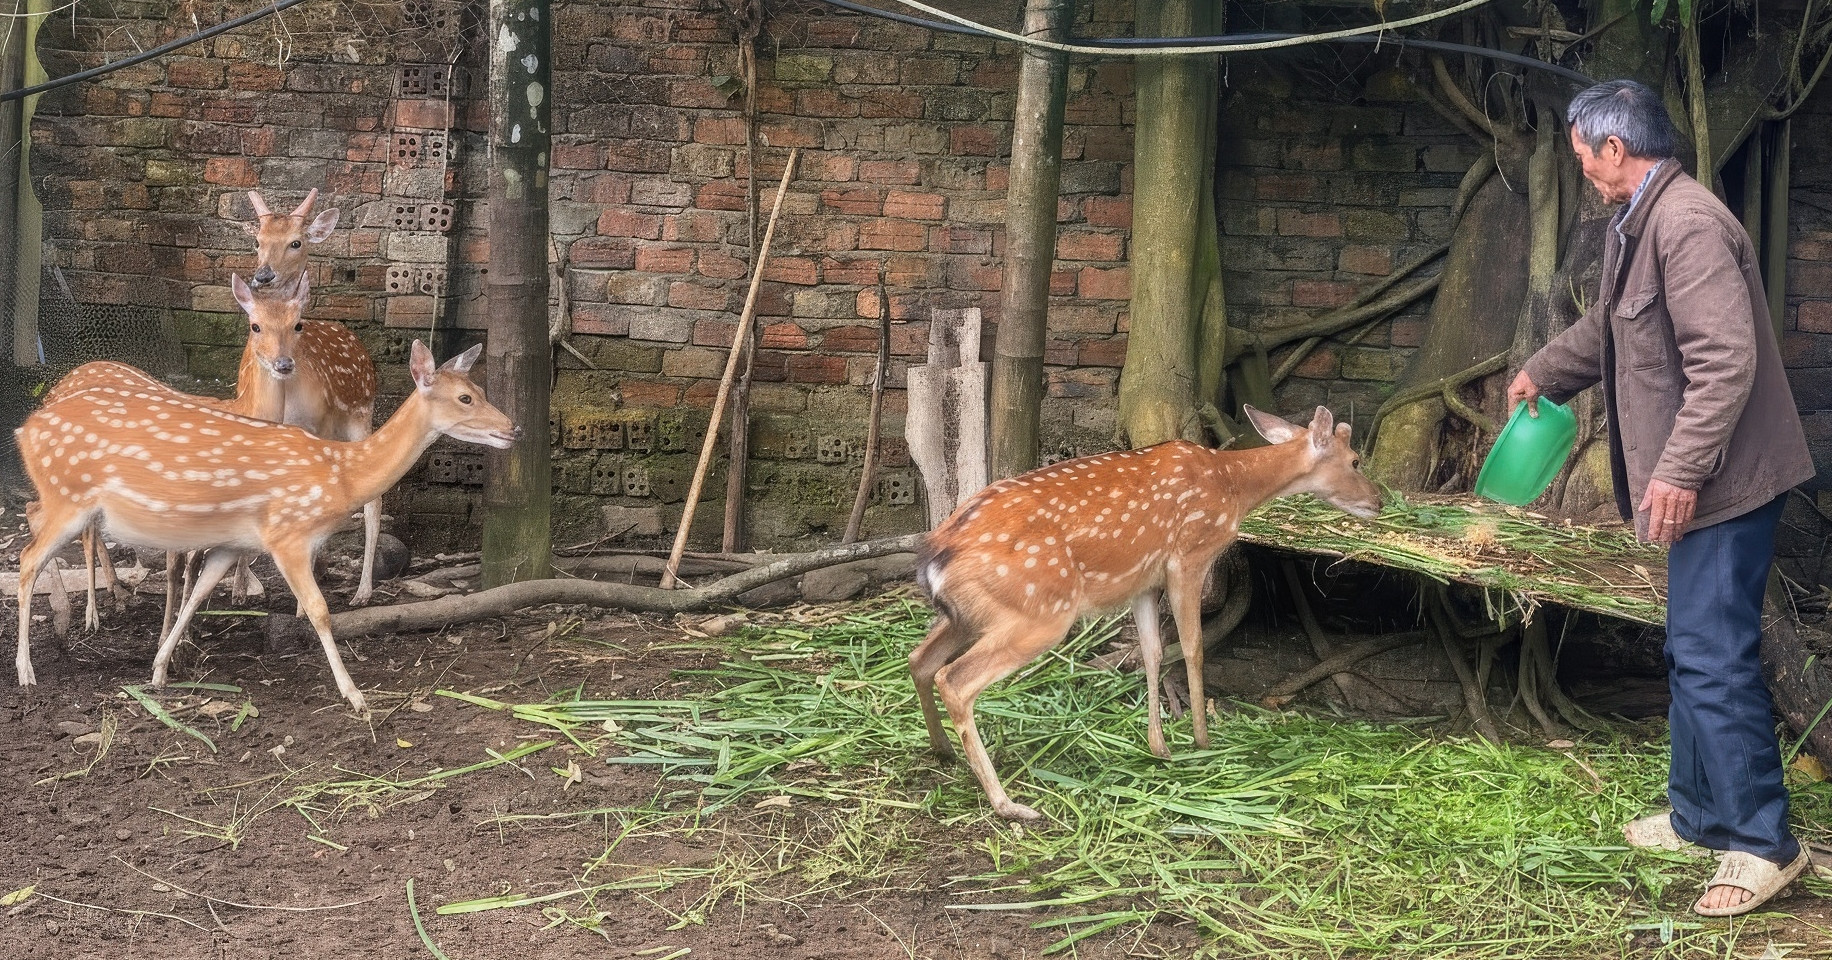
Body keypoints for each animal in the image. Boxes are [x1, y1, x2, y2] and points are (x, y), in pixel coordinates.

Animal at [13, 339, 518, 713]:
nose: (514, 428)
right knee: (26, 556)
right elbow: (318, 609)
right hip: (68, 497)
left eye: (481, 388)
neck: (341, 475)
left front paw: (157, 670)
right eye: (466, 397)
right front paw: (355, 696)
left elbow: (199, 593)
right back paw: (30, 666)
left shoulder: (234, 543)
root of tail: (24, 431)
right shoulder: (287, 533)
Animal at [911, 406, 1384, 820]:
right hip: (1040, 613)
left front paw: (1160, 747)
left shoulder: (1143, 580)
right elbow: (1192, 647)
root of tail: (933, 557)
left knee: (920, 660)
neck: (1232, 485)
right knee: (954, 679)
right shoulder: (1188, 557)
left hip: (967, 615)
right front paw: (1202, 739)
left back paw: (943, 751)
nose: (1379, 502)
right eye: (1356, 460)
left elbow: (1152, 652)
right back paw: (1008, 804)